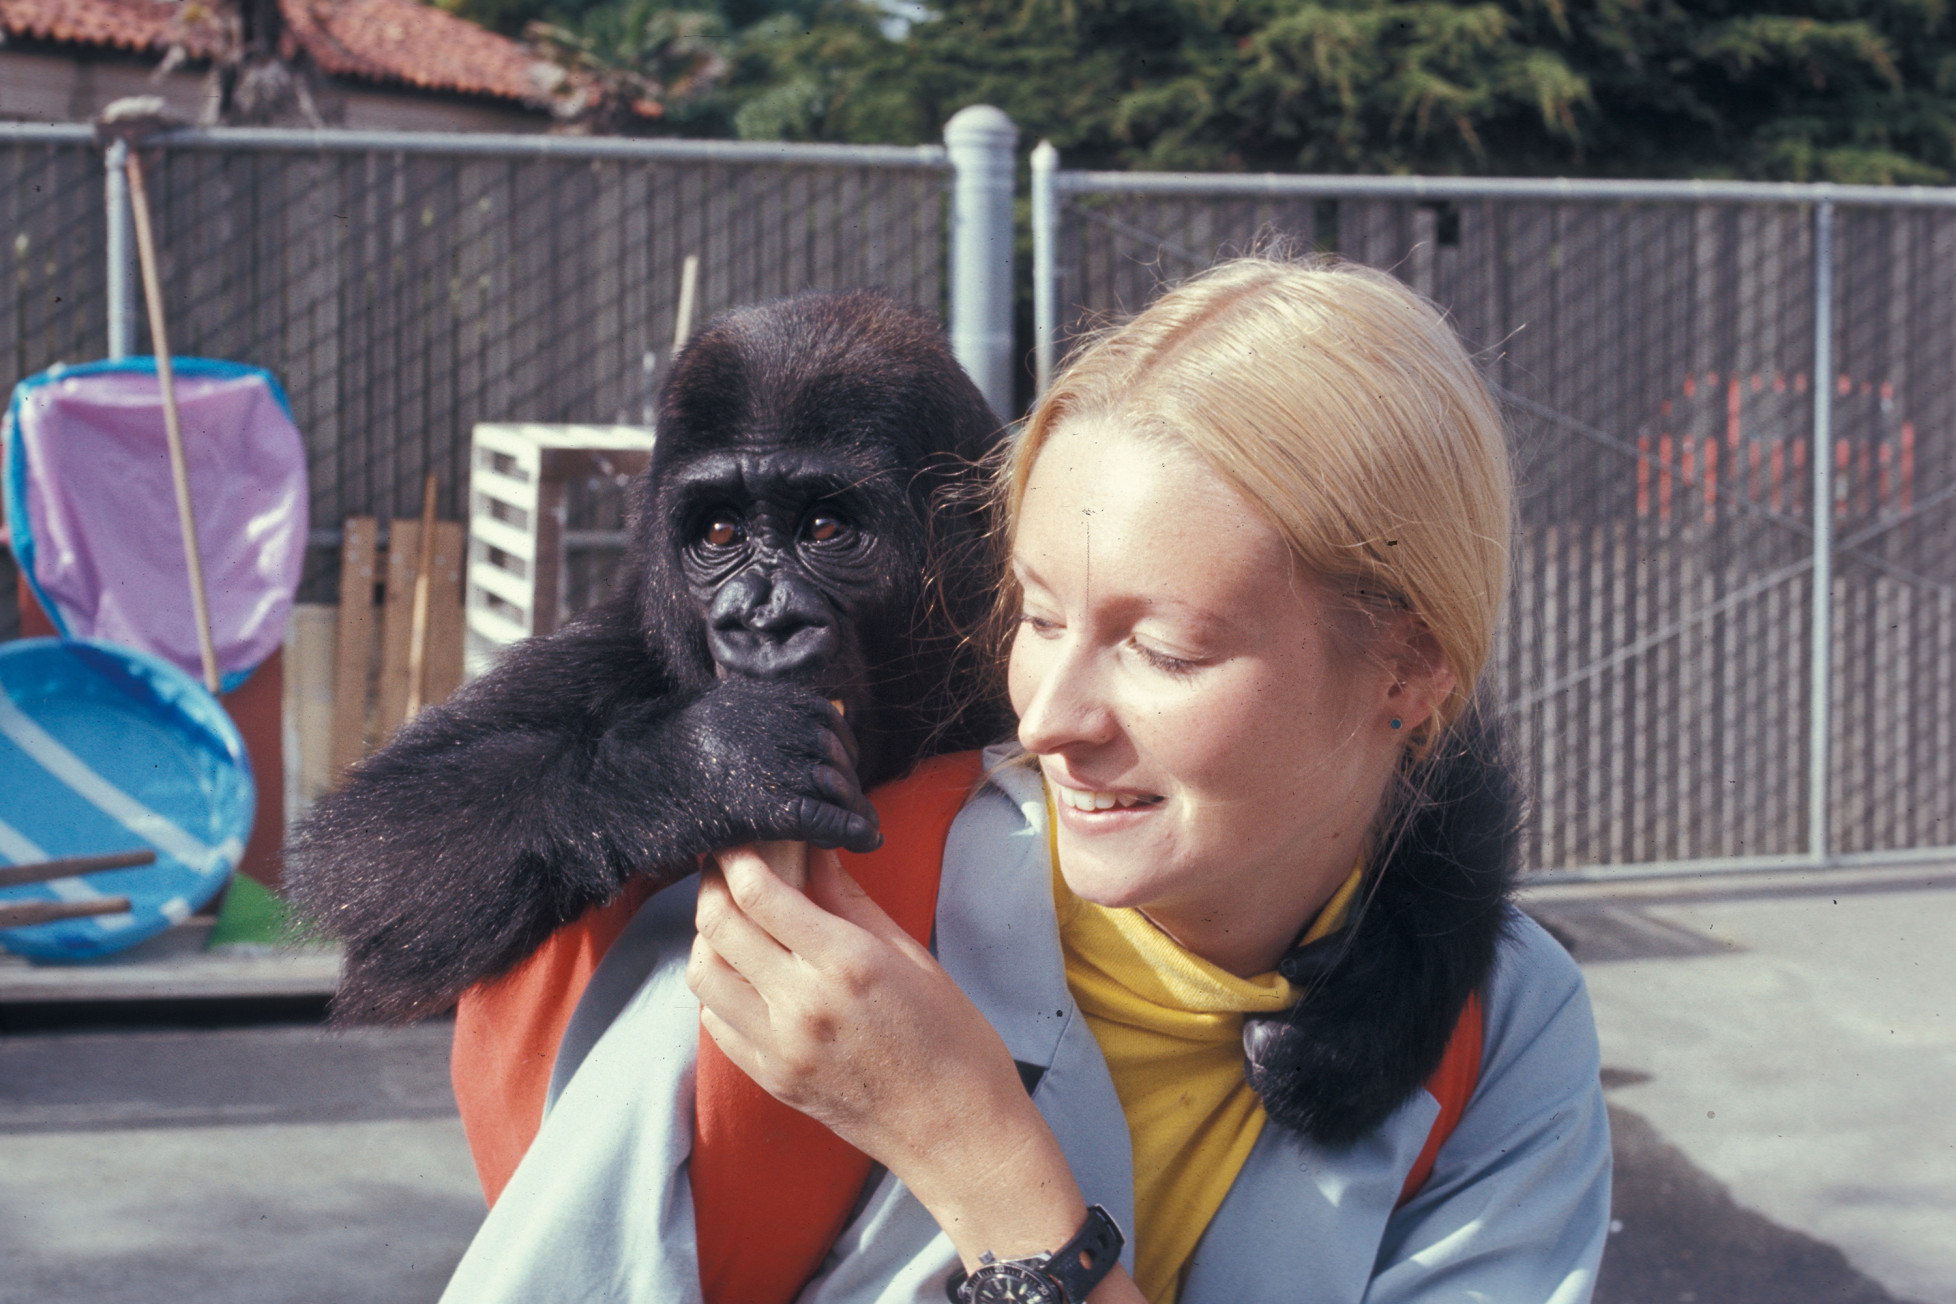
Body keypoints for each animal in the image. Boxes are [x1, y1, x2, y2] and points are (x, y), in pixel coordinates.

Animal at [284, 289, 1007, 1024]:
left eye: (825, 527)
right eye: (720, 531)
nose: (762, 622)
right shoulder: (617, 644)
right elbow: (375, 841)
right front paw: (715, 764)